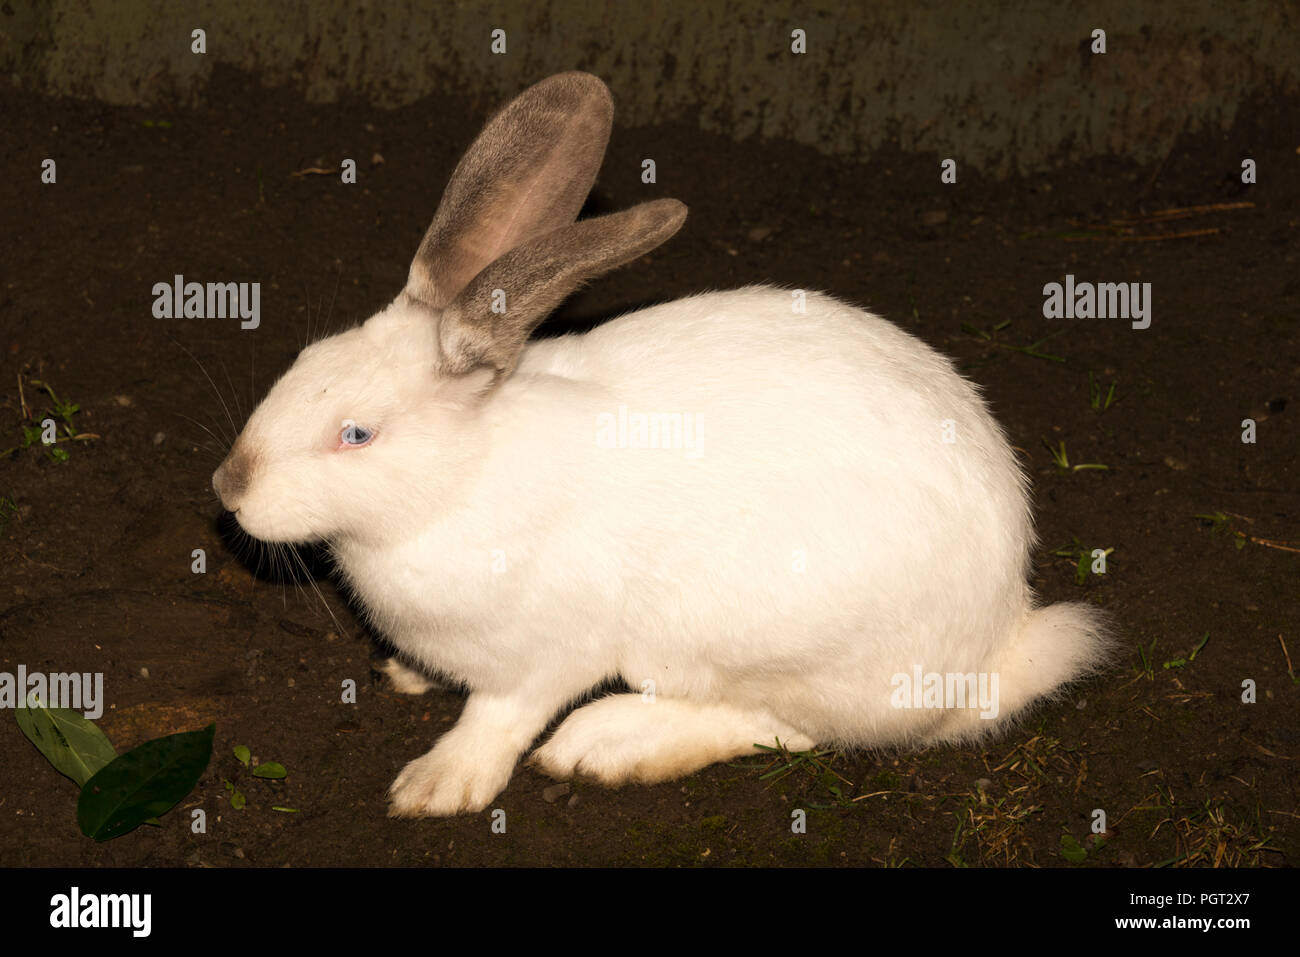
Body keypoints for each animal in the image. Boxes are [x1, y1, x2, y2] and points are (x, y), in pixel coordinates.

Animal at [212, 71, 1111, 817]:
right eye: (302, 362)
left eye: (356, 434)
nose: (229, 487)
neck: (459, 481)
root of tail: (997, 642)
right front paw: (405, 674)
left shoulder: (545, 656)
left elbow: (498, 716)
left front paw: (438, 785)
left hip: (759, 644)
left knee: (782, 725)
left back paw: (604, 744)